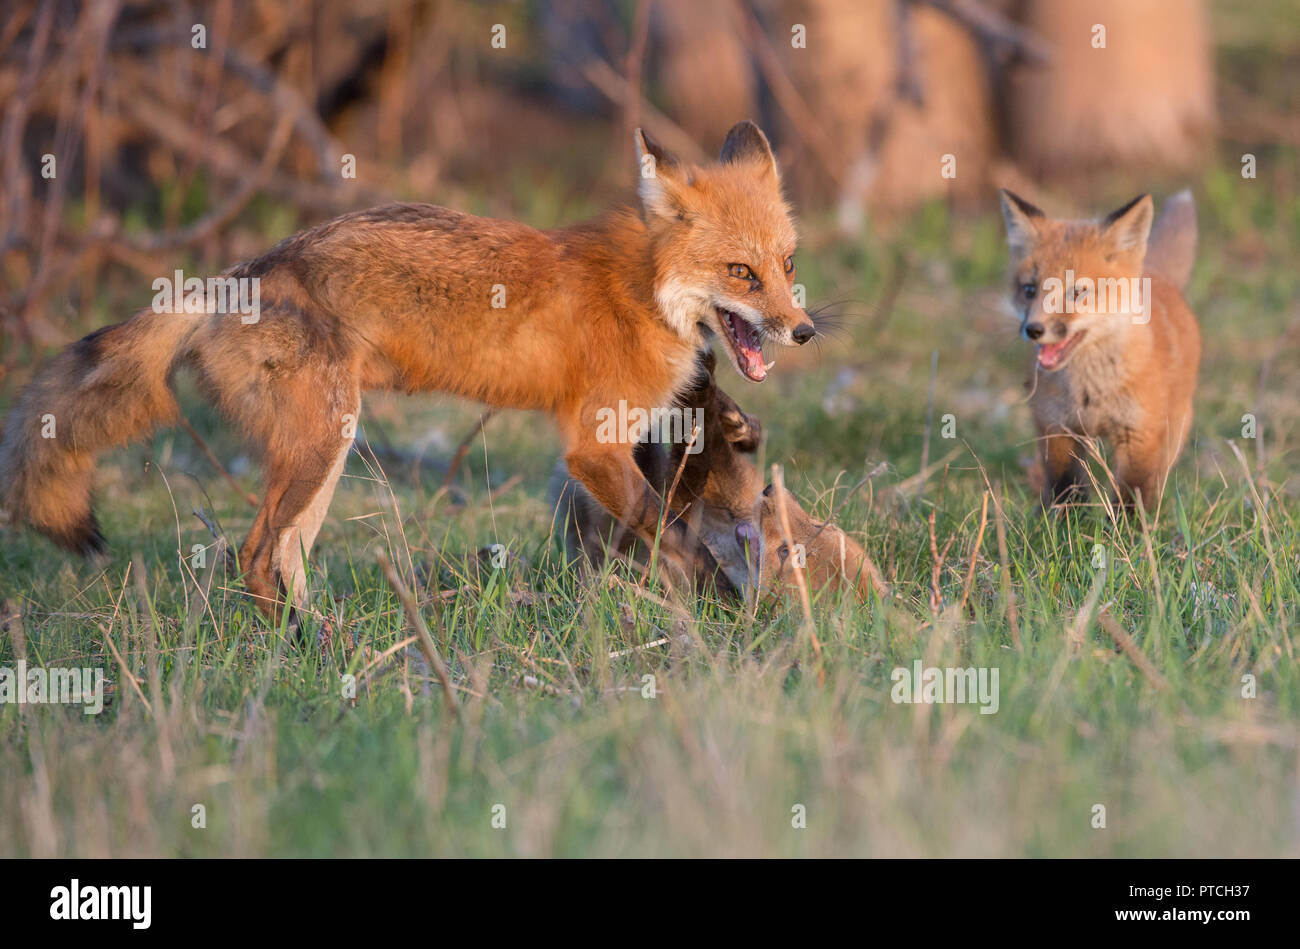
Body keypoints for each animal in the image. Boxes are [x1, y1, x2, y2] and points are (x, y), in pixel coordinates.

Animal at [0, 121, 815, 623]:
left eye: (786, 264)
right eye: (741, 273)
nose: (803, 330)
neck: (642, 289)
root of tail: (237, 274)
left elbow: (660, 534)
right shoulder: (592, 445)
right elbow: (677, 536)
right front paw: (736, 612)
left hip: (324, 451)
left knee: (283, 557)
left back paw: (321, 646)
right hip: (321, 441)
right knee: (256, 556)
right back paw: (304, 648)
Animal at [999, 188, 1201, 509]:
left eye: (1078, 292)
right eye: (1029, 289)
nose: (1033, 330)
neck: (1089, 393)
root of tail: (1157, 274)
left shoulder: (1140, 436)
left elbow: (1131, 498)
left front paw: (1131, 525)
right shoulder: (1056, 429)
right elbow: (1066, 491)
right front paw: (1064, 522)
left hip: (1174, 430)